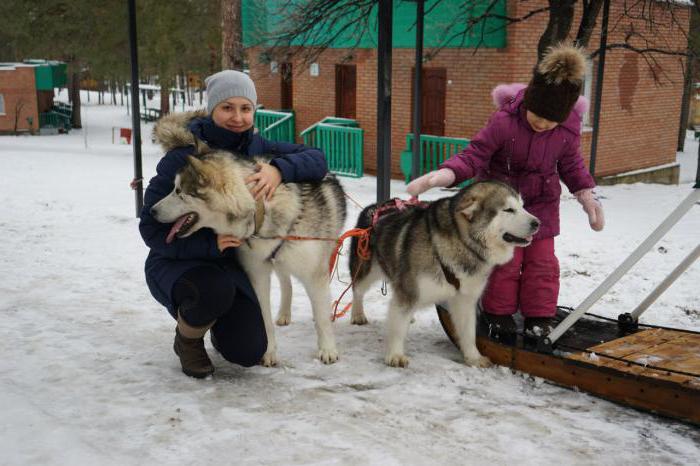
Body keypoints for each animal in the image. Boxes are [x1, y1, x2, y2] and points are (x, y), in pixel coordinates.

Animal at [350, 182, 540, 368]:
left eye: (522, 206)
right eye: (508, 210)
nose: (537, 223)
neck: (461, 244)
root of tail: (374, 206)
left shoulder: (465, 299)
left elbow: (468, 332)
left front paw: (473, 357)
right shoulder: (408, 291)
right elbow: (398, 329)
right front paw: (395, 355)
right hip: (366, 272)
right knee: (357, 291)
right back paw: (357, 314)